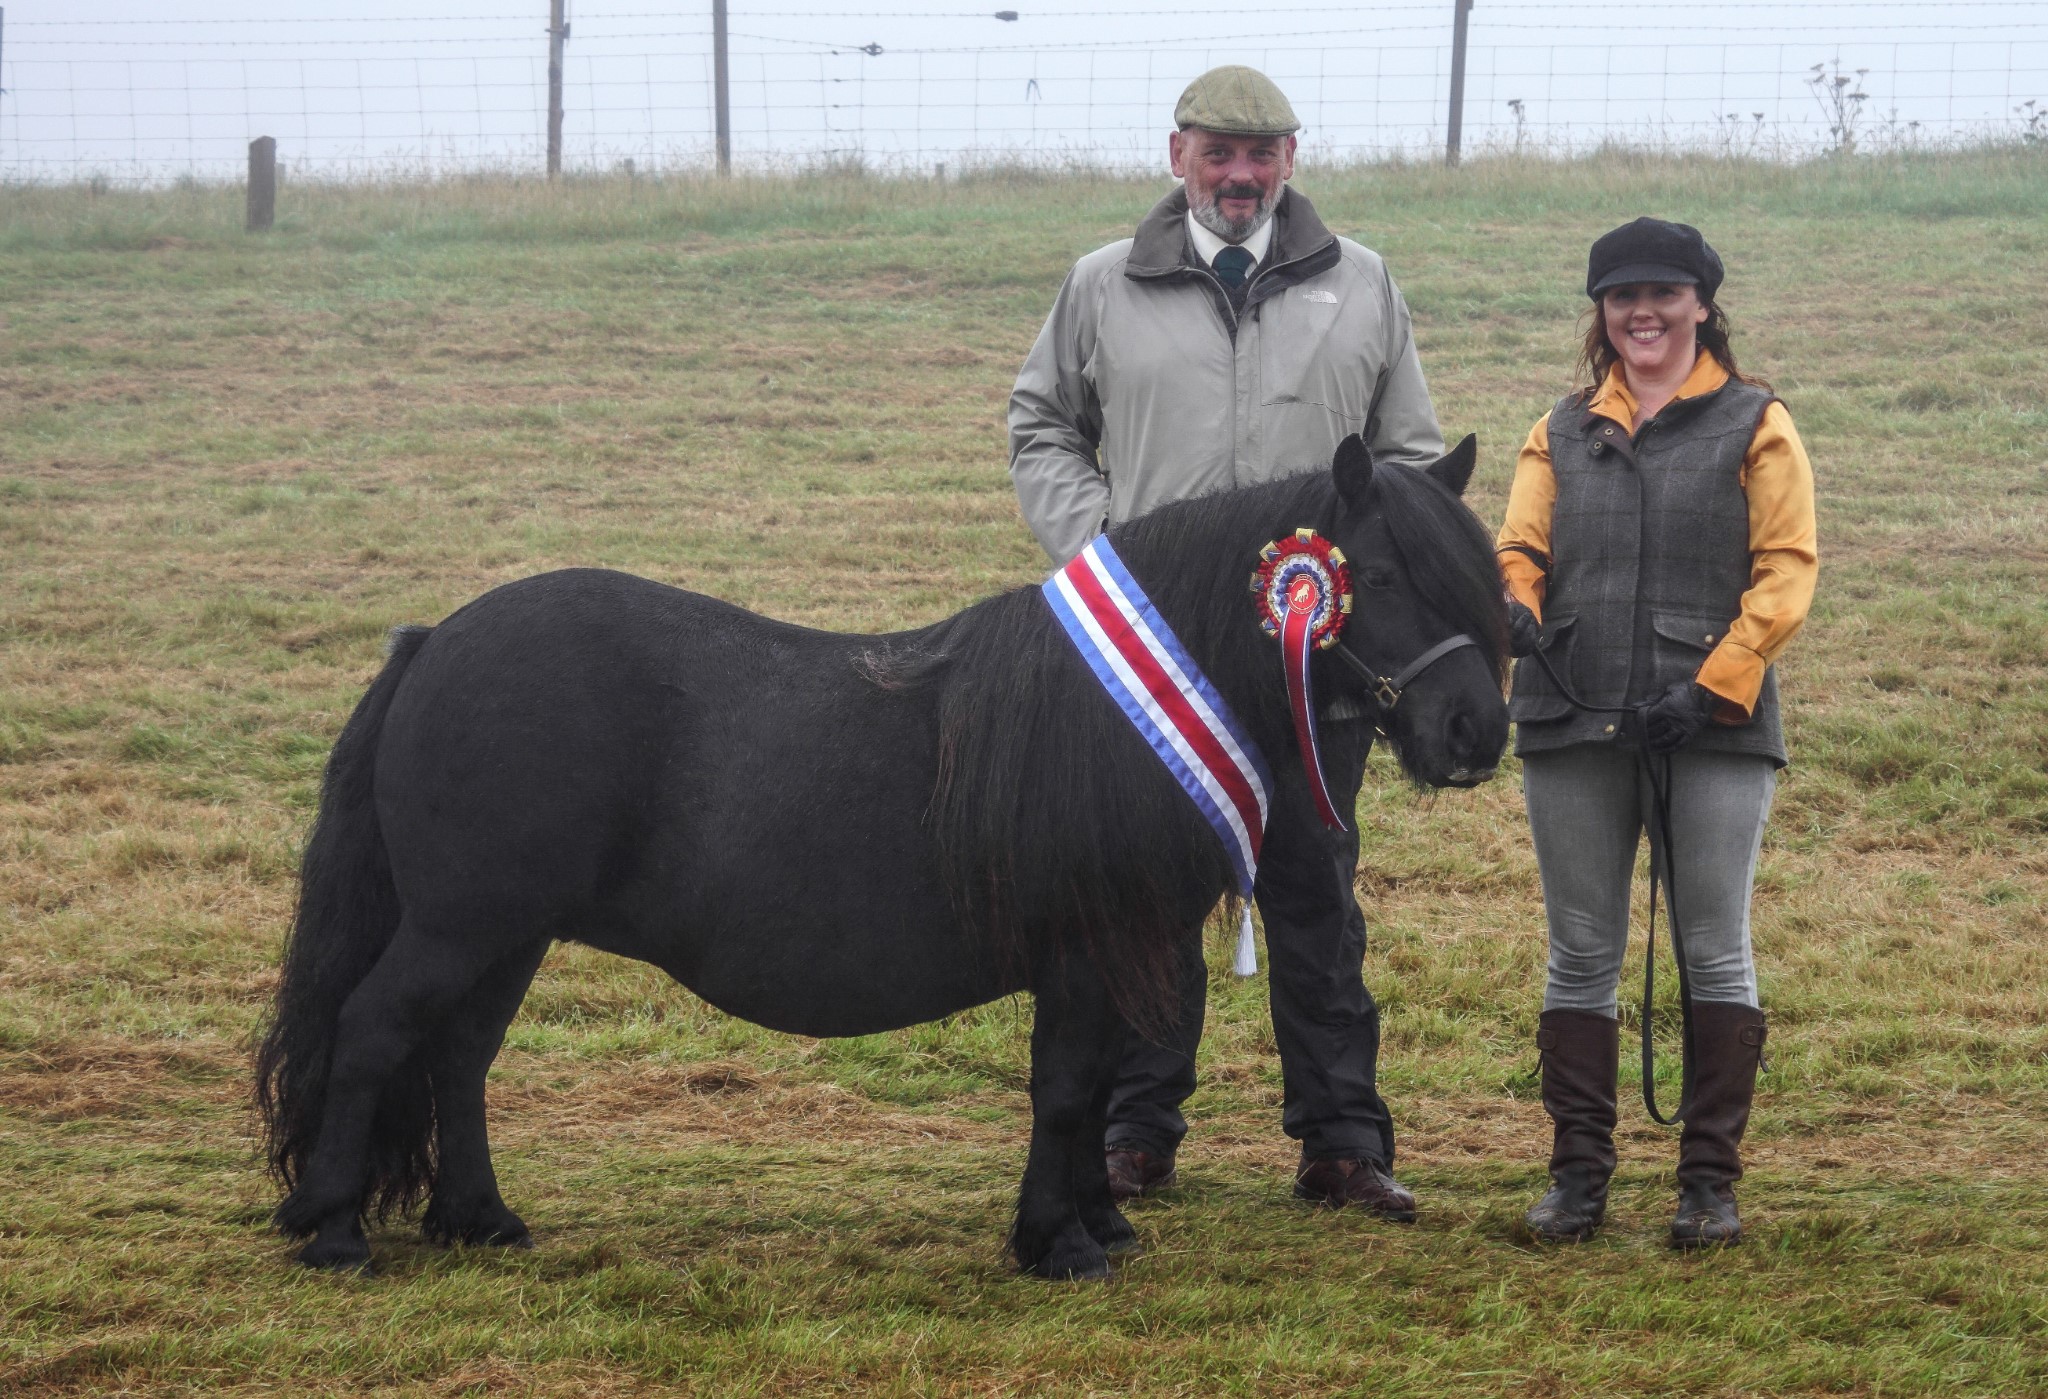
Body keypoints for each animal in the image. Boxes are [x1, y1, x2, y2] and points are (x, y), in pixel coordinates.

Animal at [255, 432, 1509, 1281]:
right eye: (1378, 576)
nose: (1474, 733)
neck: (1136, 705)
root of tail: (434, 642)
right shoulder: (1082, 949)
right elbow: (1065, 1089)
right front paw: (1056, 1242)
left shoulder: (1116, 954)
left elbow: (1092, 1083)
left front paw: (1097, 1222)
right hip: (458, 925)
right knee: (376, 1032)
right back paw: (335, 1228)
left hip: (504, 934)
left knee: (458, 1057)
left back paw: (480, 1218)